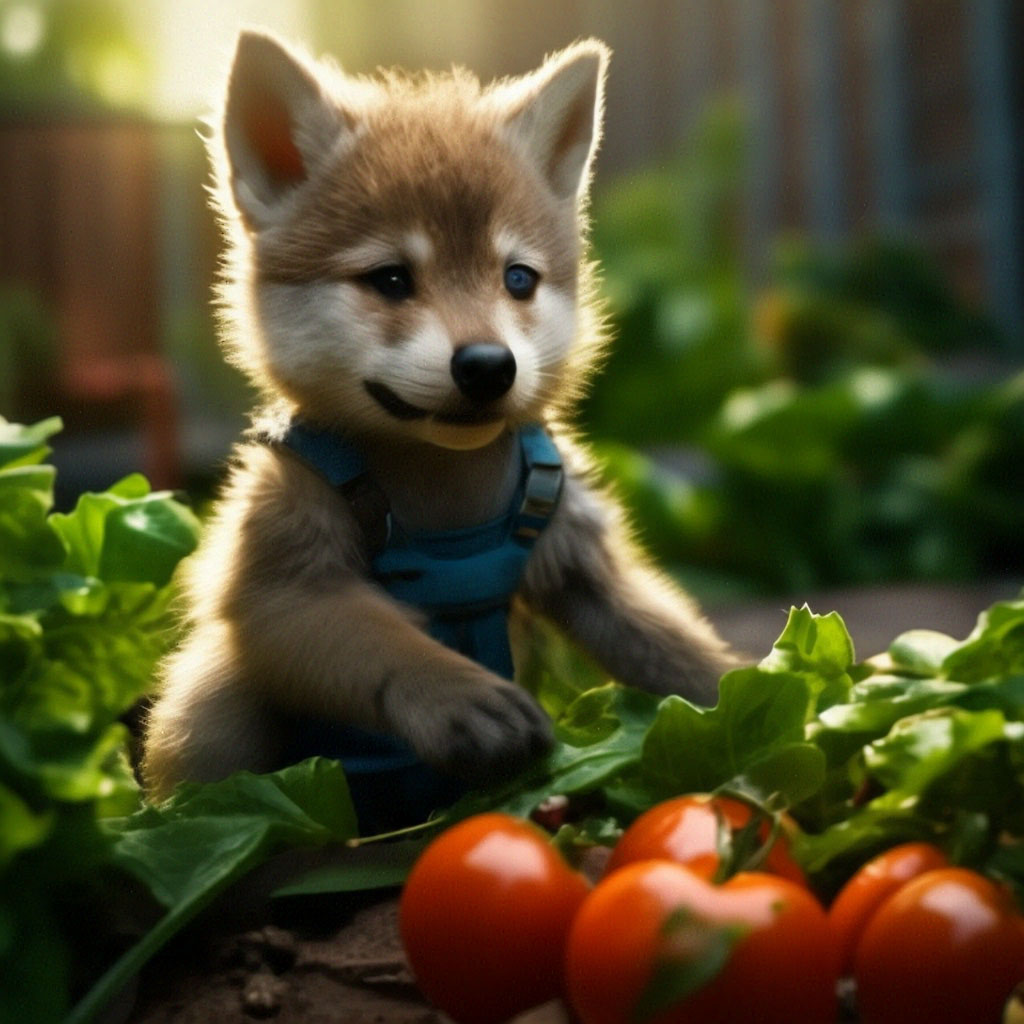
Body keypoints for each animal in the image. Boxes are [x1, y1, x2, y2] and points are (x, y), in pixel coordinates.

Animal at [142, 30, 735, 826]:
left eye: (518, 279)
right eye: (391, 279)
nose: (487, 365)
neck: (445, 497)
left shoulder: (588, 570)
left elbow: (678, 652)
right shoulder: (282, 588)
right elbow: (383, 645)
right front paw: (459, 696)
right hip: (209, 704)